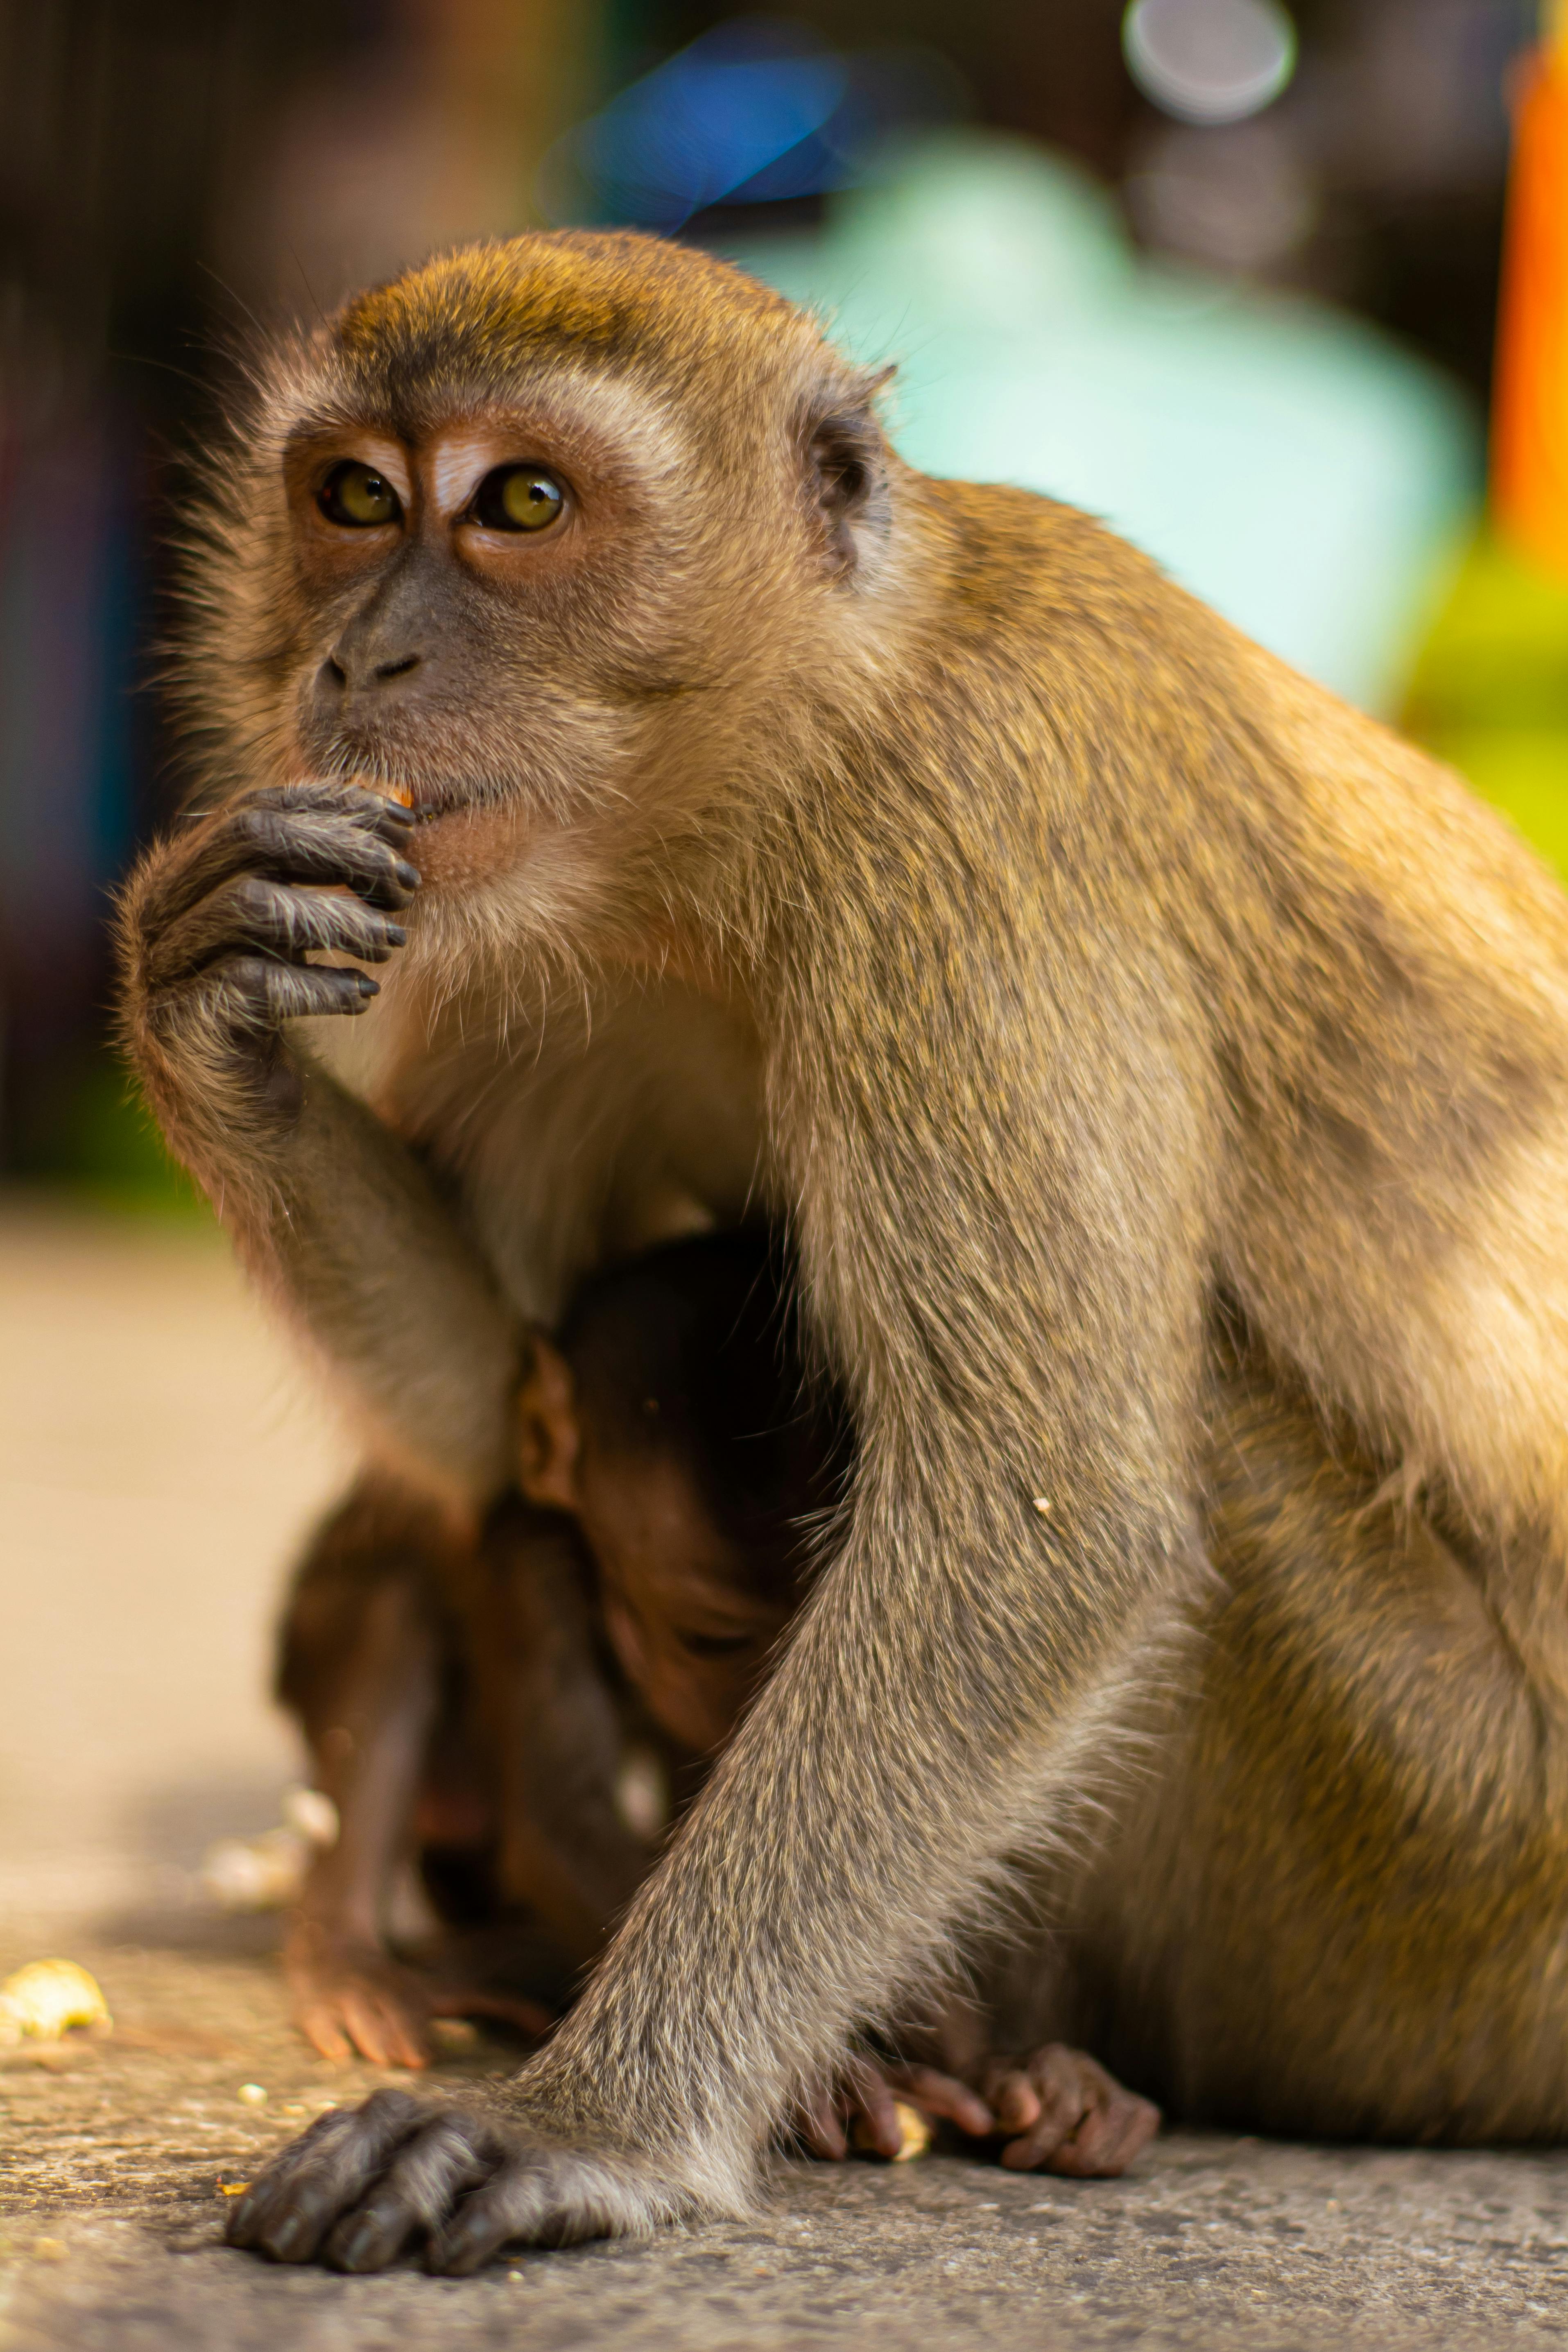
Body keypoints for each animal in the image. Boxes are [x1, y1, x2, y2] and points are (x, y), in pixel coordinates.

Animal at [112, 224, 1568, 2274]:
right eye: (354, 501)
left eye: (524, 504)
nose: (359, 652)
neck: (793, 752)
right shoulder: (535, 945)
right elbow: (500, 1425)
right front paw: (202, 1002)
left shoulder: (974, 846)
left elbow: (1038, 1522)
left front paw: (587, 2117)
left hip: (1441, 1902)